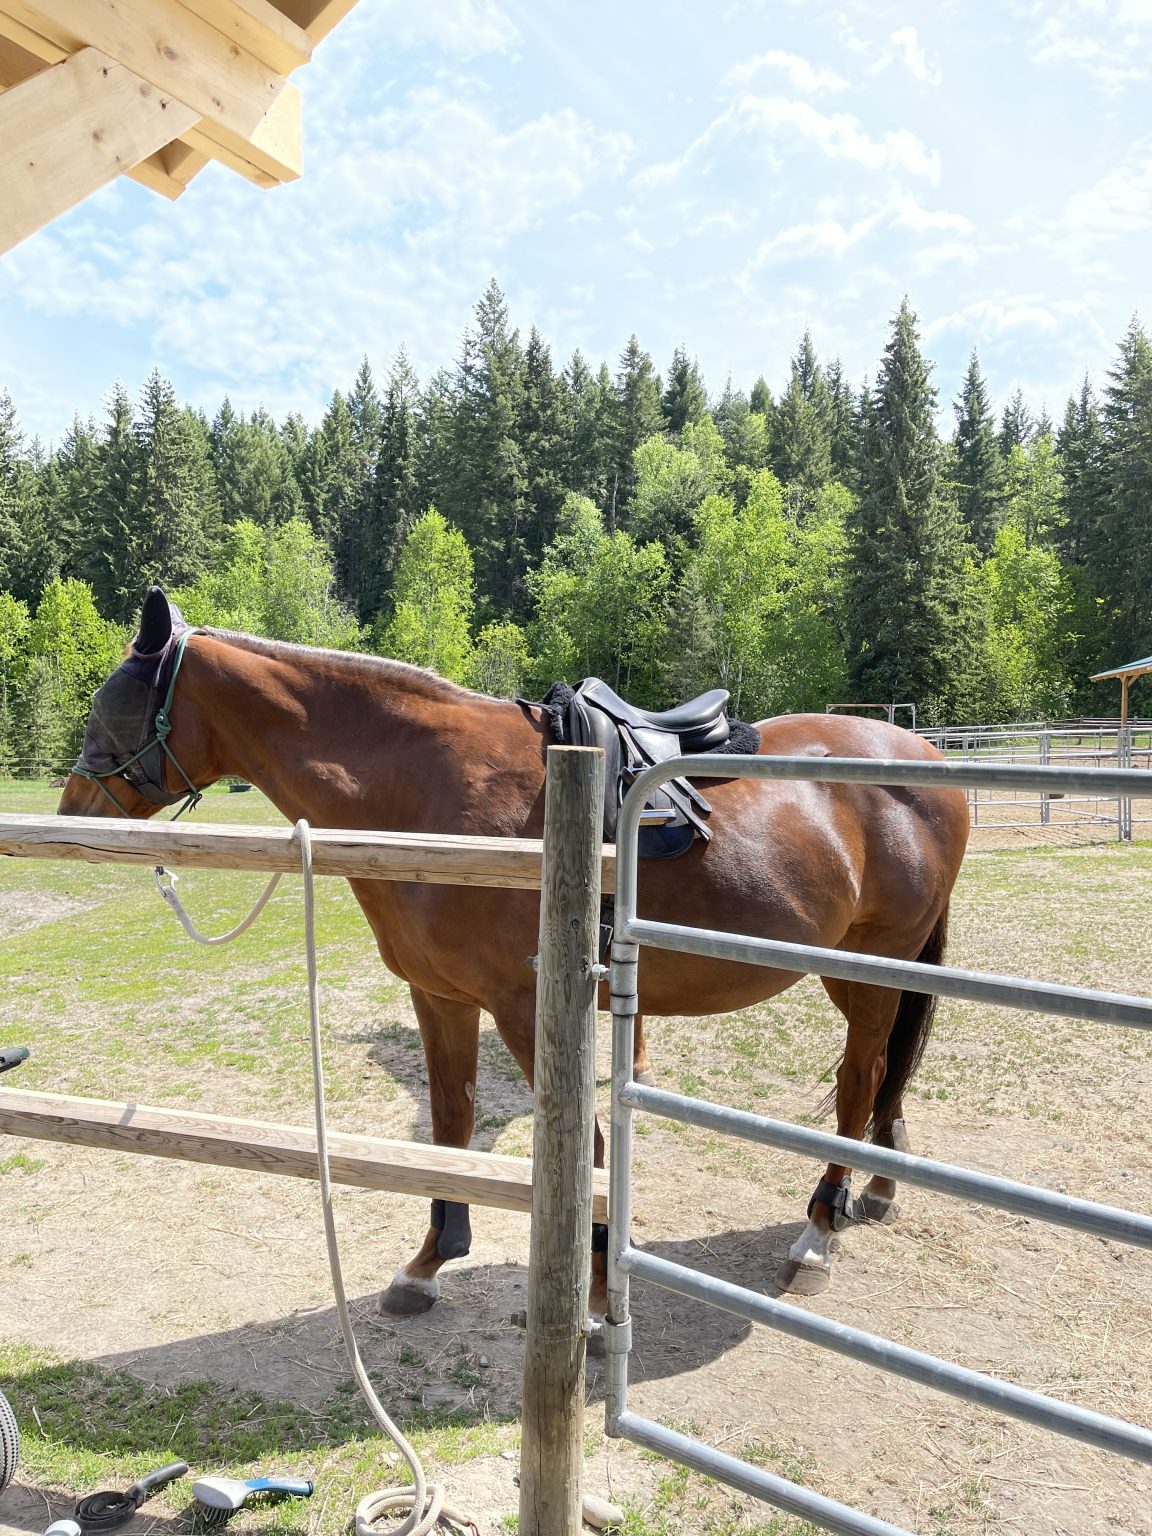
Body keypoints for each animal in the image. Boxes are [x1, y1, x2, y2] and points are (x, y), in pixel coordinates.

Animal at [59, 588, 969, 1307]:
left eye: (112, 704)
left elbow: (584, 1151)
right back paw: (875, 1192)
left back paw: (819, 1231)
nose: (70, 811)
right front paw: (431, 1261)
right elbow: (451, 1126)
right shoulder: (442, 998)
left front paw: (594, 1292)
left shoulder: (529, 1007)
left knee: (859, 1084)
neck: (428, 790)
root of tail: (922, 755)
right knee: (885, 1078)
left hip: (870, 968)